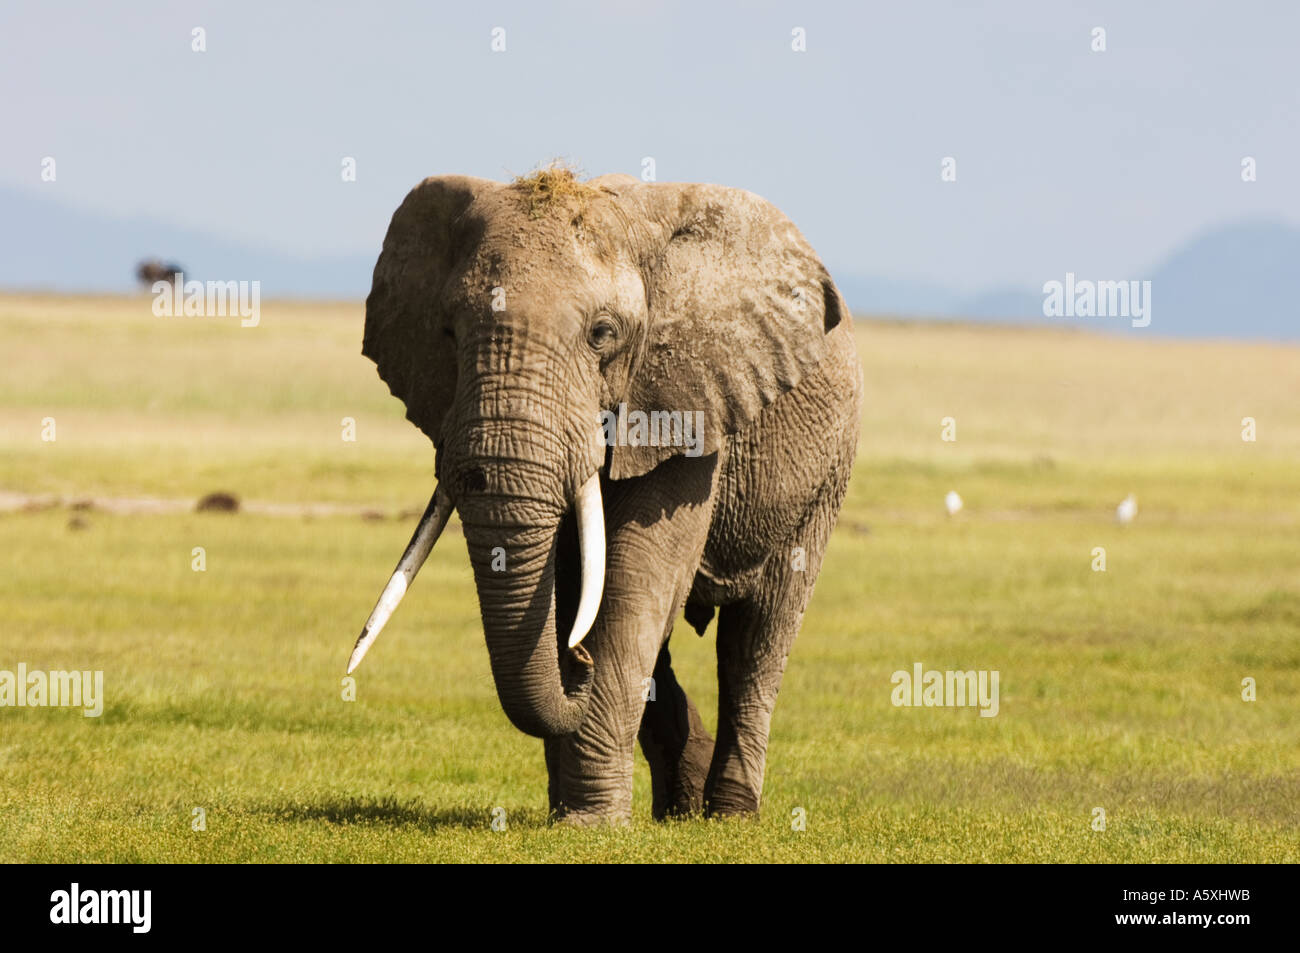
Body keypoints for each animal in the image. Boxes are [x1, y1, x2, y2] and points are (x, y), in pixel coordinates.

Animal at [347, 168, 862, 826]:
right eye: (448, 333)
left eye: (601, 335)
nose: (577, 666)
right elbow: (575, 588)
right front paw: (572, 813)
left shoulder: (685, 398)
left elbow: (633, 582)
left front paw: (590, 824)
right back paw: (680, 809)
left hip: (827, 472)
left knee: (758, 636)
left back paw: (729, 815)